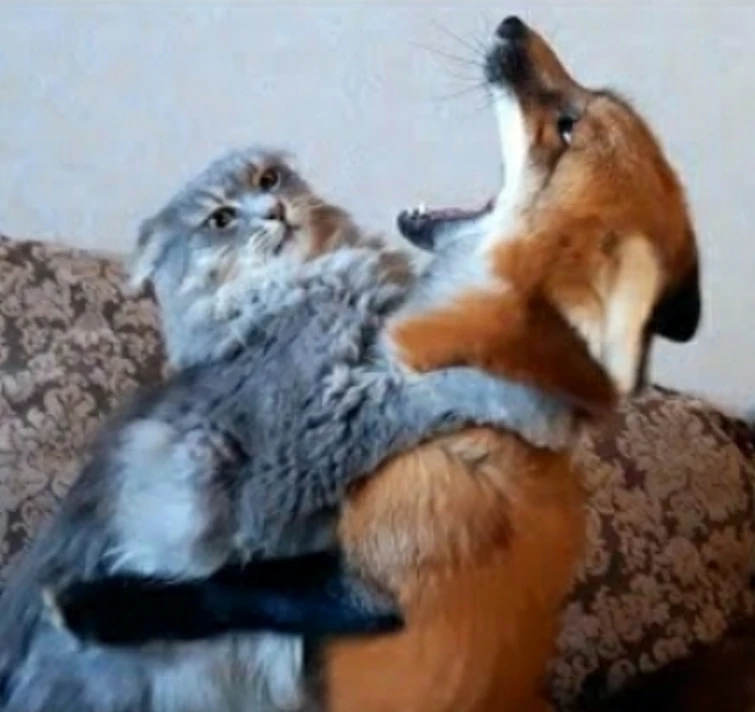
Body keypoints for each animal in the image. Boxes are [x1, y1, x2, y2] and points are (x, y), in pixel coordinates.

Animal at [52, 15, 701, 712]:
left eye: (568, 125)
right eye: (579, 105)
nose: (511, 24)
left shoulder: (372, 586)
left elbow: (229, 586)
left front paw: (101, 606)